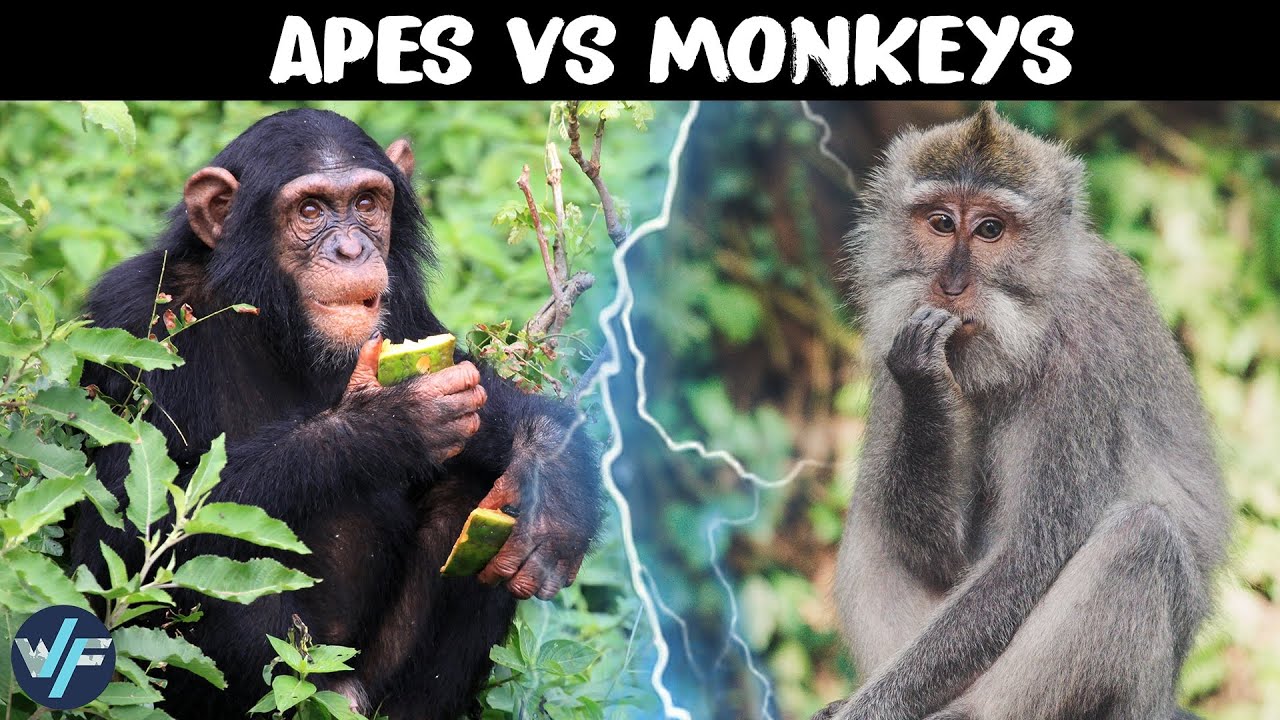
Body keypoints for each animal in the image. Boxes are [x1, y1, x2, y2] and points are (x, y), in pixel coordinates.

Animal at [814, 104, 1230, 720]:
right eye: (941, 222)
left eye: (991, 229)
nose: (950, 285)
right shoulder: (894, 331)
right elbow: (942, 554)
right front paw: (926, 383)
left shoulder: (1085, 360)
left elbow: (1026, 560)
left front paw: (874, 710)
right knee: (872, 514)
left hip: (1132, 698)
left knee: (1143, 539)